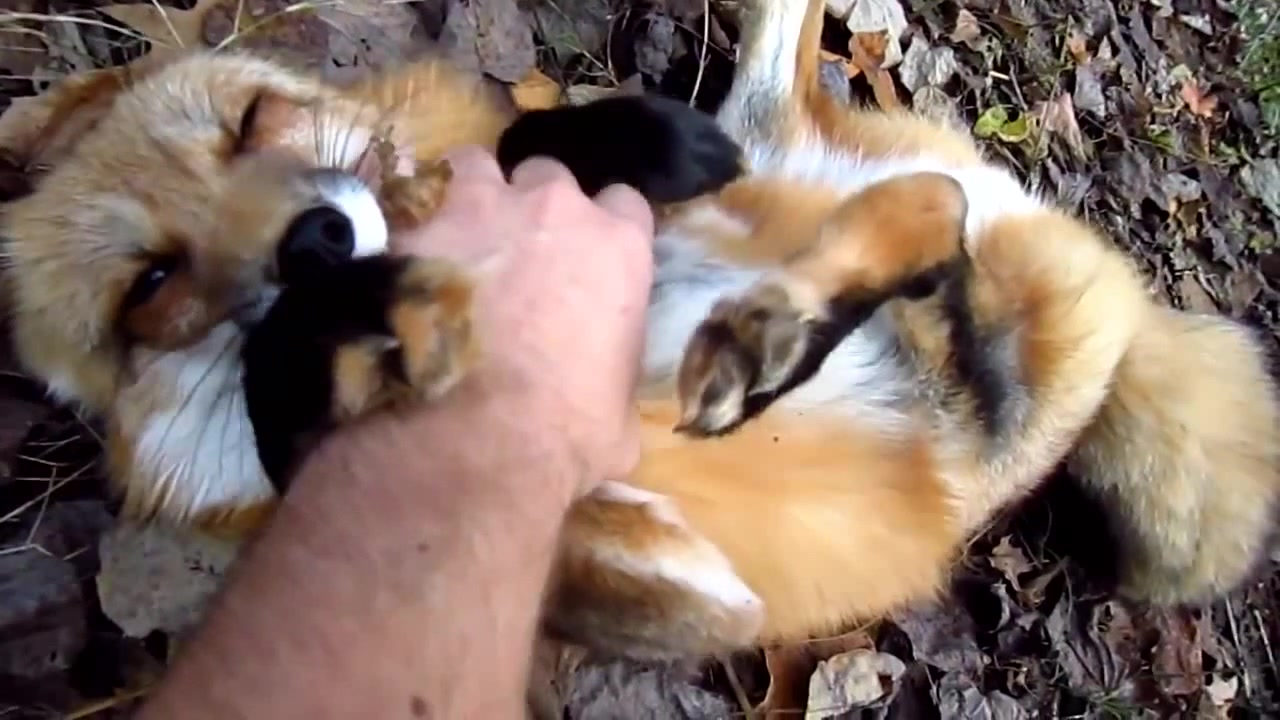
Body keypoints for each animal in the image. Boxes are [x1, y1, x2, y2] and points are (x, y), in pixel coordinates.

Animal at [2, 0, 1279, 674]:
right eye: (151, 285)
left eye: (253, 121)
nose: (316, 240)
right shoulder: (686, 591)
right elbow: (308, 414)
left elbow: (535, 142)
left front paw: (629, 141)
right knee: (921, 216)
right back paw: (786, 315)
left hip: (924, 256)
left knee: (858, 144)